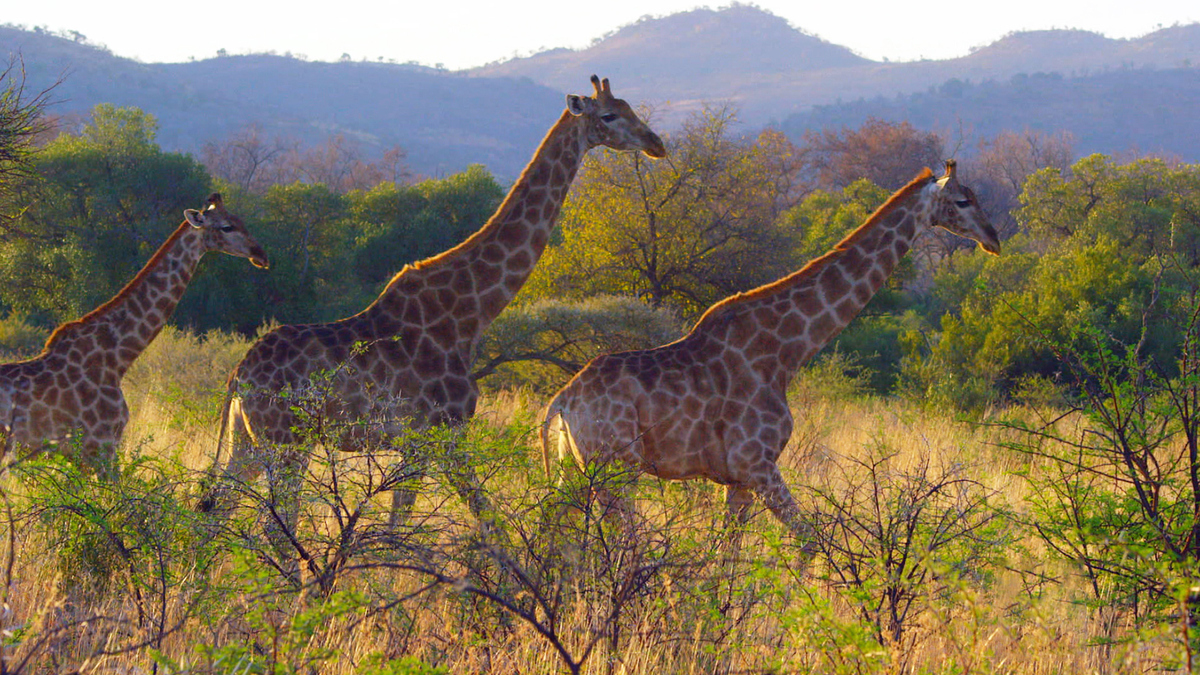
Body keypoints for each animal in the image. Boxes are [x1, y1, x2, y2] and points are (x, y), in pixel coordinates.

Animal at [0, 193, 269, 473]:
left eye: (240, 221)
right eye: (227, 227)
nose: (261, 255)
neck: (117, 358)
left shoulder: (83, 454)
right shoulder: (101, 447)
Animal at [198, 75, 666, 527]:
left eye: (629, 107)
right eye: (608, 115)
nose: (656, 143)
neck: (468, 313)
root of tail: (238, 375)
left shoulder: (428, 439)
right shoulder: (436, 434)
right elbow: (445, 526)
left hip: (248, 441)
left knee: (214, 514)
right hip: (287, 441)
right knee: (272, 525)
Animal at [540, 161, 1000, 555]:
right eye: (963, 200)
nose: (994, 239)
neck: (786, 351)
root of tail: (562, 401)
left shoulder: (737, 479)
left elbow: (725, 555)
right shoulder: (757, 464)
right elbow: (810, 541)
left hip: (573, 467)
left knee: (553, 533)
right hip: (616, 468)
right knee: (623, 544)